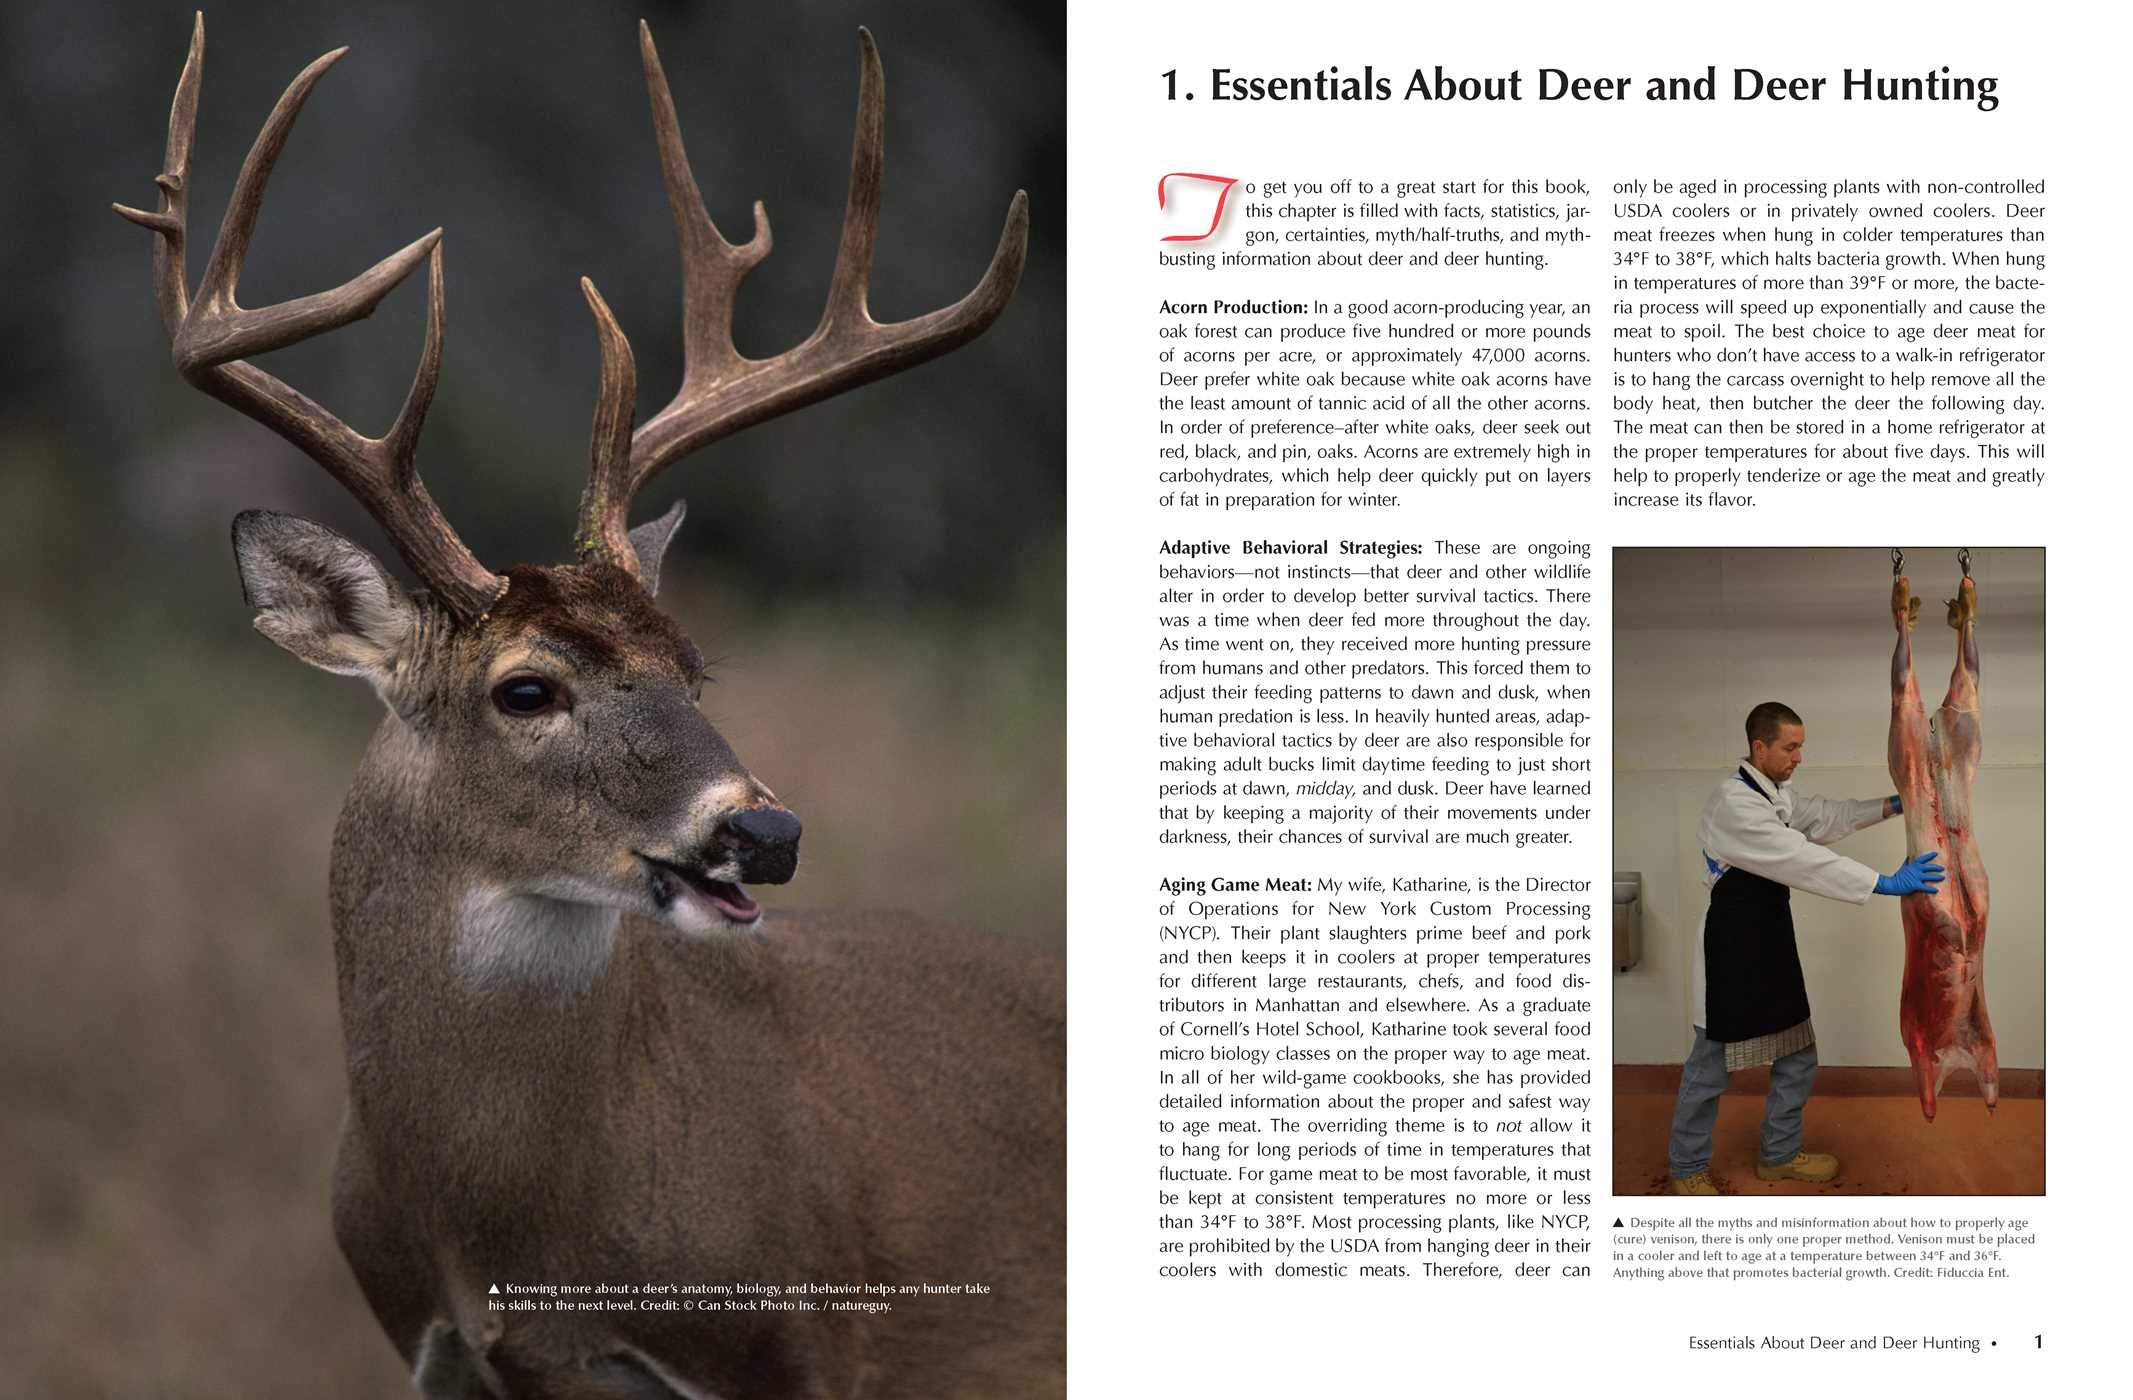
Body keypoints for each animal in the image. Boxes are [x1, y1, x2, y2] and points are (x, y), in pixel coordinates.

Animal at [113, 15, 1062, 1399]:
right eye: (527, 688)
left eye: (692, 665)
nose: (764, 831)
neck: (512, 1232)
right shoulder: (440, 1351)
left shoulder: (806, 1340)